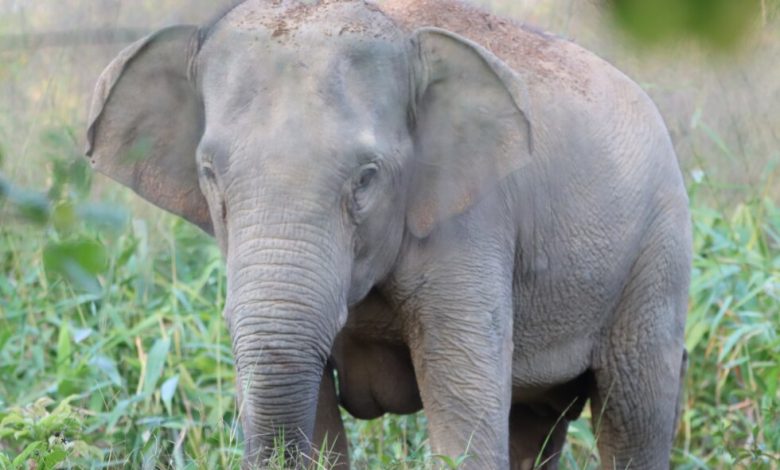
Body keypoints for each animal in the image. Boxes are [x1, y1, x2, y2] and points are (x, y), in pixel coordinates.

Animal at [85, 0, 691, 468]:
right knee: (534, 423)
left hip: (657, 258)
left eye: (366, 176)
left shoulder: (473, 224)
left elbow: (464, 414)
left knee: (634, 414)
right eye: (209, 172)